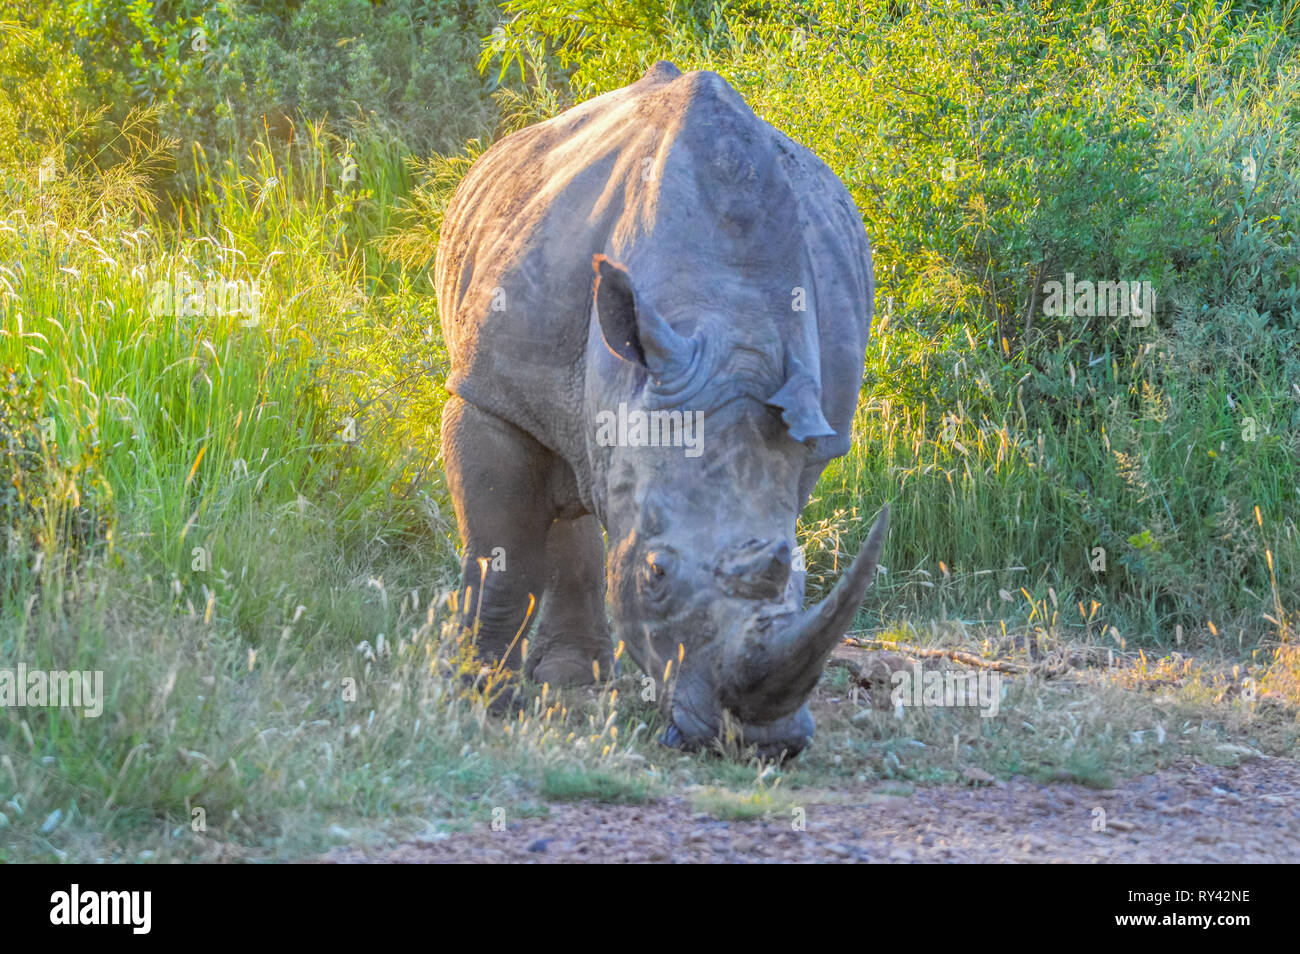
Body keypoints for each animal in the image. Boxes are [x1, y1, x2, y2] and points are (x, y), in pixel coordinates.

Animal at [434, 61, 887, 758]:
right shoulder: (490, 395)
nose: (759, 741)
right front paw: (478, 698)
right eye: (655, 573)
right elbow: (502, 552)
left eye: (802, 578)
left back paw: (572, 678)